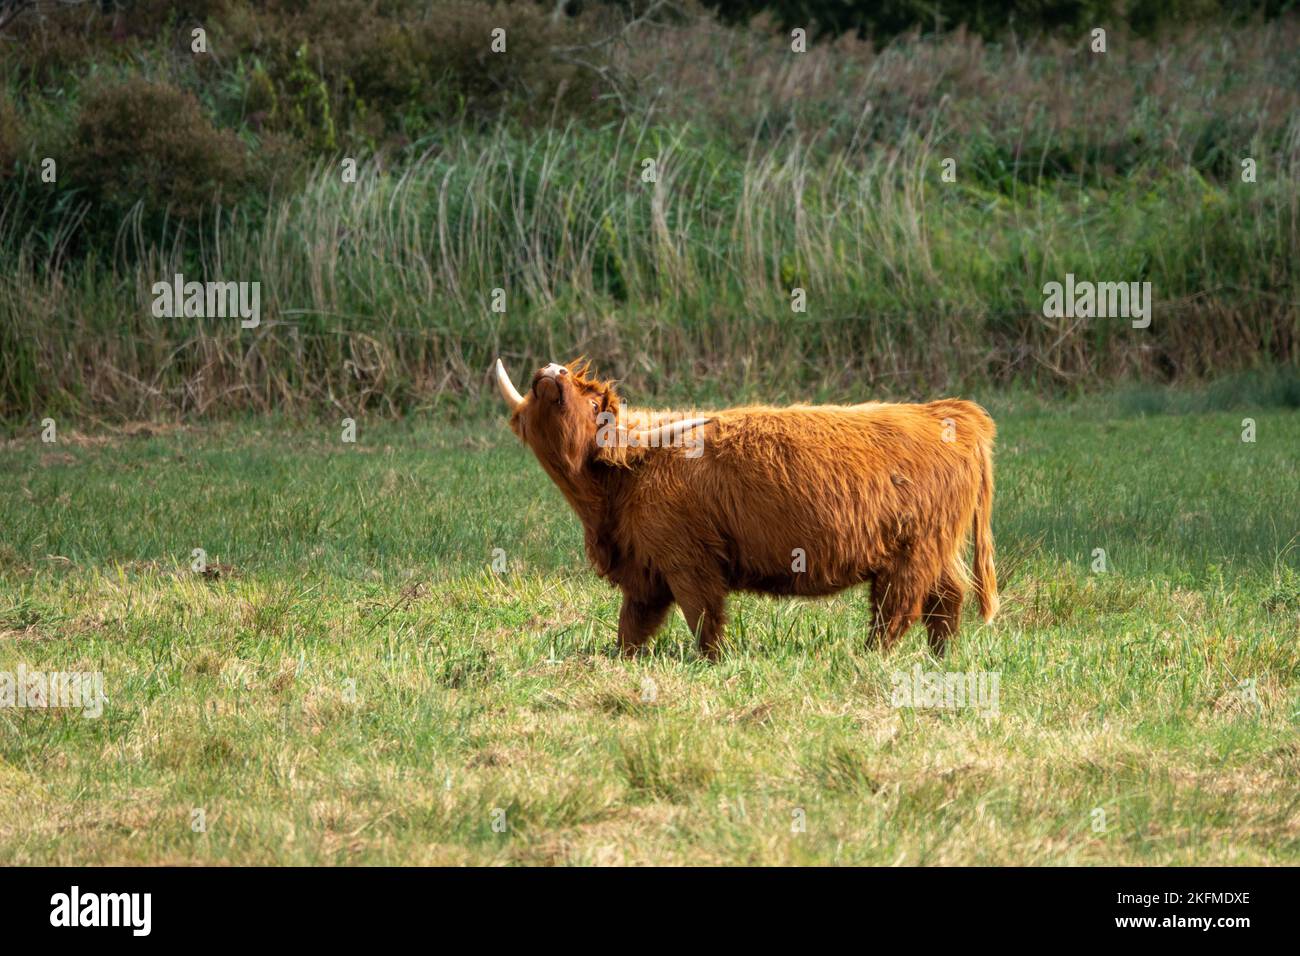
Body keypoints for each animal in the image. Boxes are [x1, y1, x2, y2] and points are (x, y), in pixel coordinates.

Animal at [494, 358, 998, 660]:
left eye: (595, 399)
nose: (553, 368)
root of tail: (946, 412)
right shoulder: (646, 571)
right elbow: (632, 625)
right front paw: (622, 660)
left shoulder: (688, 562)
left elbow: (703, 617)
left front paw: (713, 661)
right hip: (935, 548)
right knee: (947, 598)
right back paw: (941, 657)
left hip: (912, 551)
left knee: (898, 610)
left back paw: (866, 657)